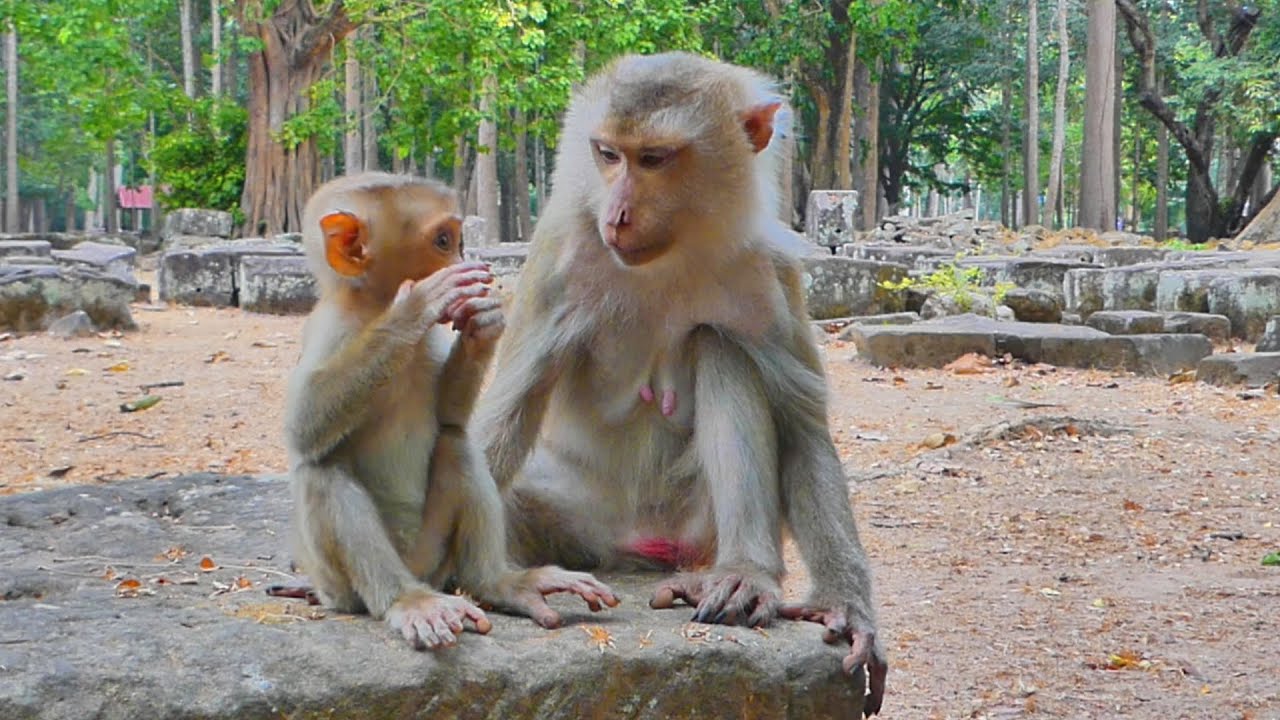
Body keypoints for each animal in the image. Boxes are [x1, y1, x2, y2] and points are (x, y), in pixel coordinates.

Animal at [277, 171, 618, 651]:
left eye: (458, 240)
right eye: (443, 241)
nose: (470, 263)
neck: (371, 306)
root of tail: (420, 573)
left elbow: (449, 416)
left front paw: (484, 322)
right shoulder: (329, 329)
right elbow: (304, 428)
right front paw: (414, 308)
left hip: (434, 554)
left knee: (456, 443)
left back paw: (497, 582)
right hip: (341, 587)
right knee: (320, 469)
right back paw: (408, 601)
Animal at [472, 54, 886, 714]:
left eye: (654, 159)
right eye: (607, 154)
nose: (616, 213)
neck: (674, 250)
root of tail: (643, 547)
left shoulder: (770, 269)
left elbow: (801, 426)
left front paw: (844, 606)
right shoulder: (562, 253)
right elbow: (508, 408)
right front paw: (495, 585)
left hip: (699, 528)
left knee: (722, 347)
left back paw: (743, 576)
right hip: (580, 519)